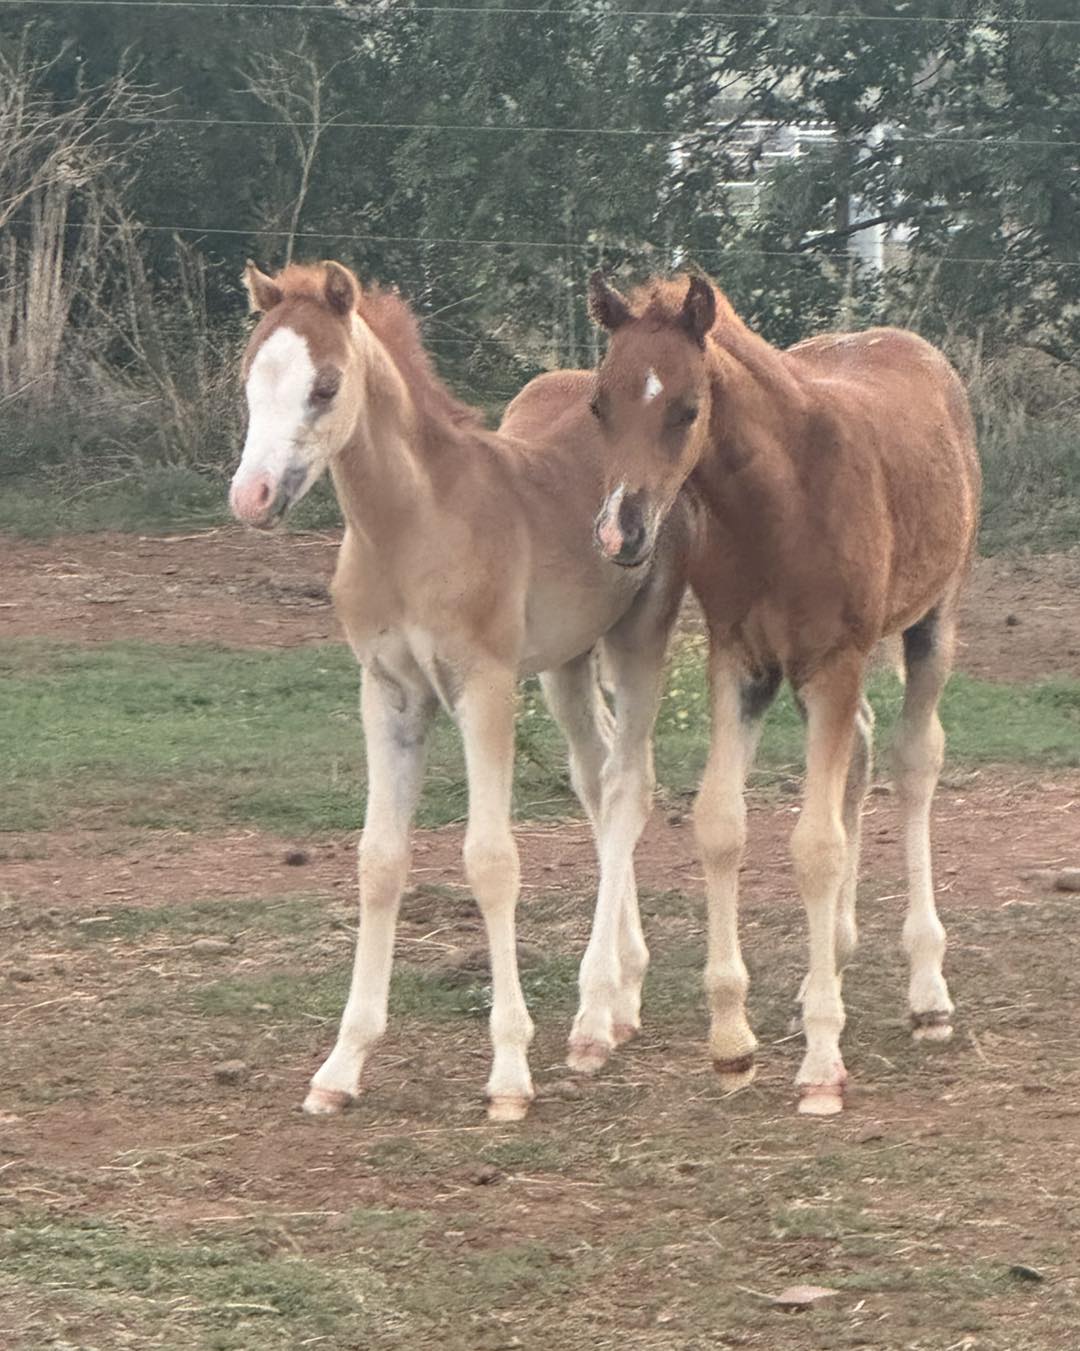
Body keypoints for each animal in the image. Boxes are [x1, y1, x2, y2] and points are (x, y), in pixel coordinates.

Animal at [229, 260, 693, 1122]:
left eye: (325, 386)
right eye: (250, 379)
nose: (253, 497)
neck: (414, 527)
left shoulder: (484, 683)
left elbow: (490, 859)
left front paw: (509, 1072)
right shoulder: (387, 691)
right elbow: (379, 860)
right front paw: (340, 1065)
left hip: (636, 638)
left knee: (629, 785)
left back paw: (594, 1015)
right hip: (566, 661)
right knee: (598, 776)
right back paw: (620, 998)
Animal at [585, 271, 980, 1115]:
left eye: (687, 408)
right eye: (599, 403)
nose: (619, 535)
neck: (782, 500)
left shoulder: (834, 659)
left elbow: (815, 844)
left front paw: (824, 1064)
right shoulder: (743, 663)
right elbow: (719, 824)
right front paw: (732, 1041)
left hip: (934, 616)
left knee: (914, 760)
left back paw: (927, 993)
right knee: (862, 746)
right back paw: (824, 969)